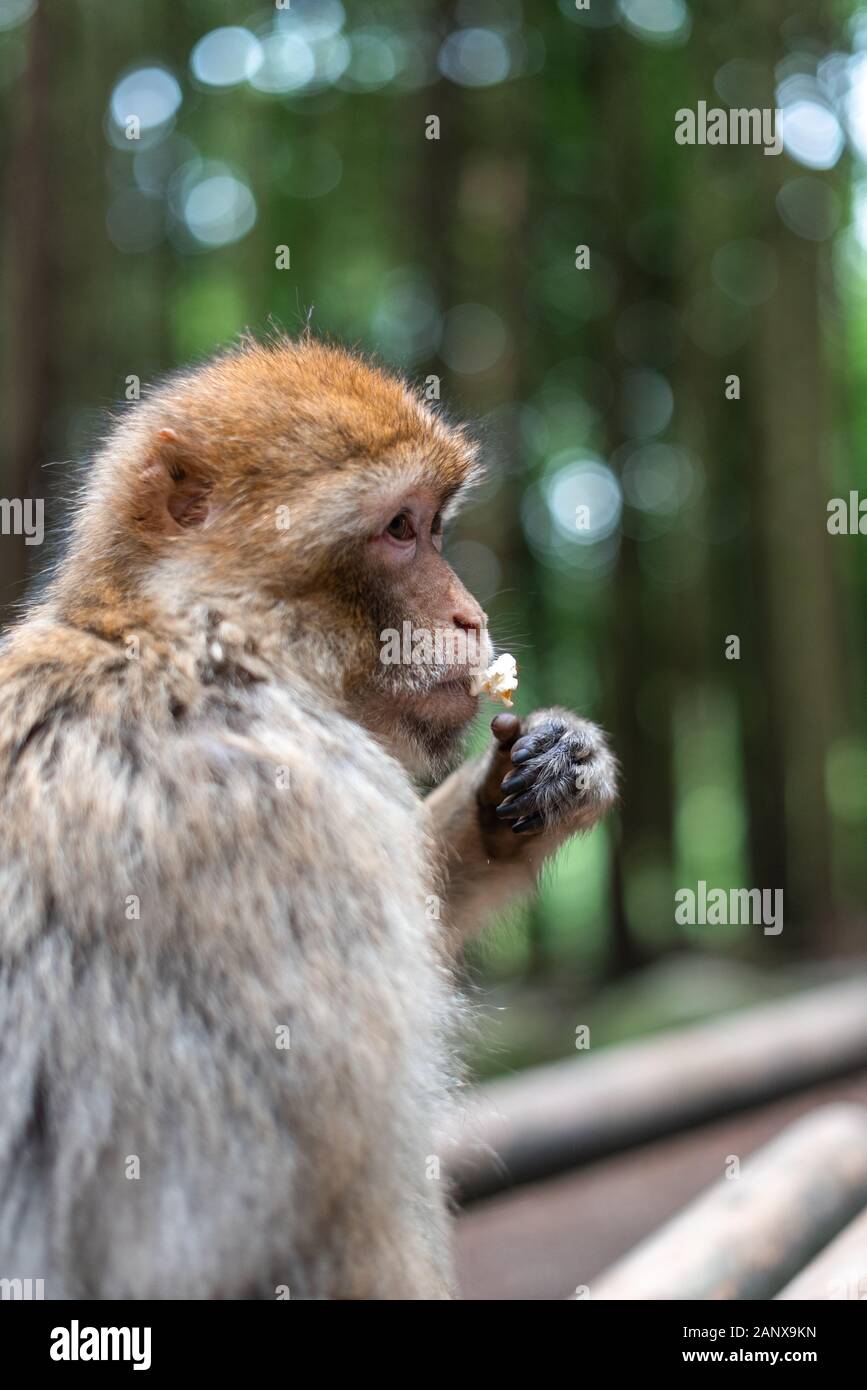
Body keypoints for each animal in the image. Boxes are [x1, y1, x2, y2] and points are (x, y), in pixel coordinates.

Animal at [0, 335, 616, 1300]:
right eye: (400, 529)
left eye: (434, 527)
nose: (470, 616)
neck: (189, 639)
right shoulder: (296, 819)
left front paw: (545, 771)